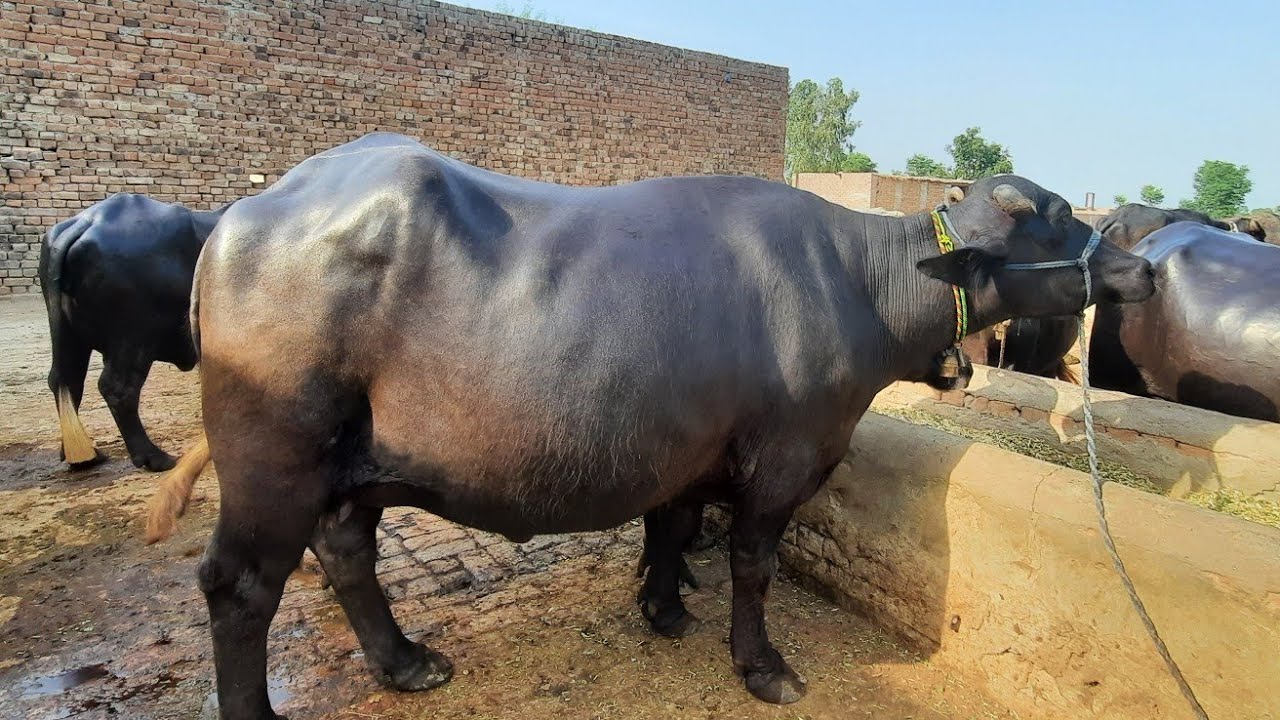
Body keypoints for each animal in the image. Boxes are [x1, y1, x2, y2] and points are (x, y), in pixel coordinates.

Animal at [39, 193, 231, 470]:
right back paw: (153, 456)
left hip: (68, 335)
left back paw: (84, 454)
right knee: (118, 388)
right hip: (133, 340)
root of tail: (87, 221)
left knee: (65, 381)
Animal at [145, 133, 1153, 719]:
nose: (1139, 269)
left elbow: (671, 527)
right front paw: (762, 665)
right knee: (239, 586)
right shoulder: (783, 460)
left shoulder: (690, 454)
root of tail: (242, 216)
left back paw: (405, 663)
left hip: (349, 462)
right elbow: (753, 564)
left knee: (347, 549)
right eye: (1056, 217)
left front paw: (665, 609)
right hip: (272, 457)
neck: (862, 283)